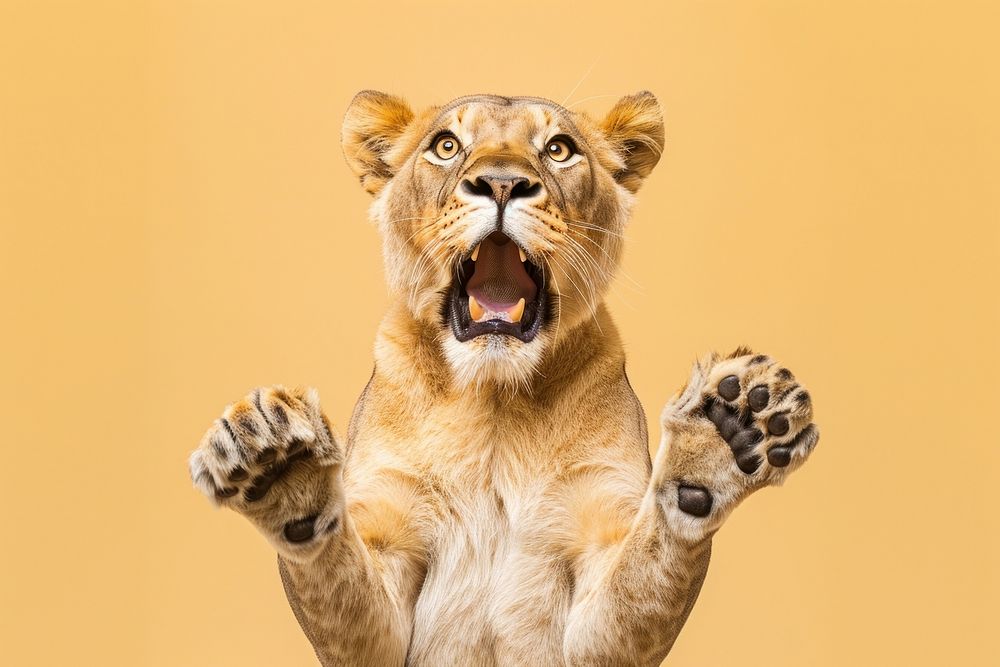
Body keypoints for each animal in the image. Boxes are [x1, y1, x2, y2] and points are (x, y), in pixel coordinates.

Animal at [188, 91, 819, 666]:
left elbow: (644, 574)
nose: (500, 184)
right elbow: (337, 576)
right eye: (446, 146)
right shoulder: (386, 557)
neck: (493, 401)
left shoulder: (599, 578)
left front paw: (726, 433)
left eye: (559, 149)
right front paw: (279, 463)